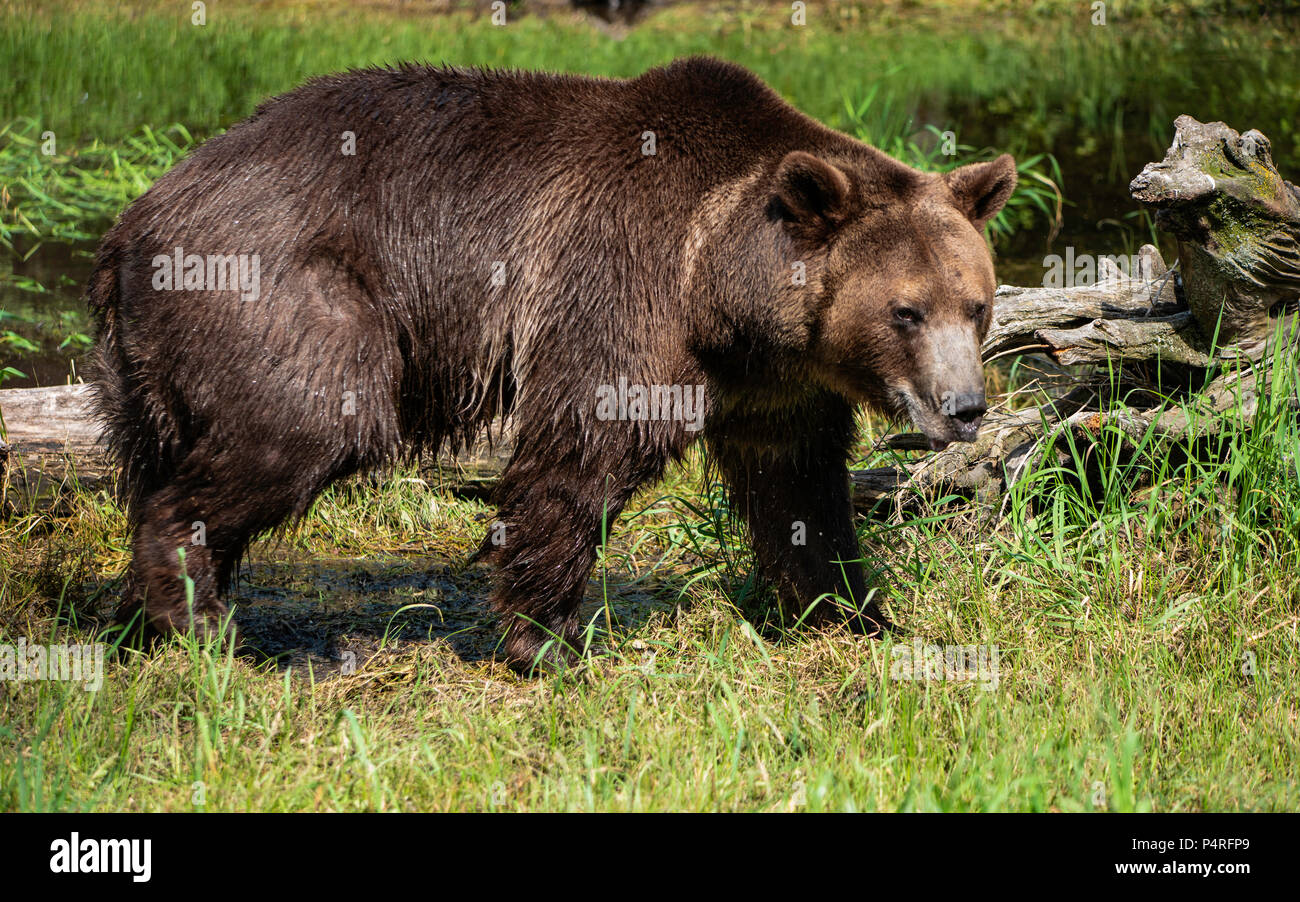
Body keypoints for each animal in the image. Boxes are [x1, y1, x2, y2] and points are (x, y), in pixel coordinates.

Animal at [87, 56, 1015, 671]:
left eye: (976, 304)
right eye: (905, 311)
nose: (965, 407)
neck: (721, 291)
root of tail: (130, 224)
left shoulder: (773, 385)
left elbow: (800, 490)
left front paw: (853, 613)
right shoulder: (621, 282)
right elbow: (583, 450)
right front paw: (551, 640)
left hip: (159, 358)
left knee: (165, 451)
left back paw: (144, 618)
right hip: (289, 292)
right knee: (301, 425)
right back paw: (203, 627)